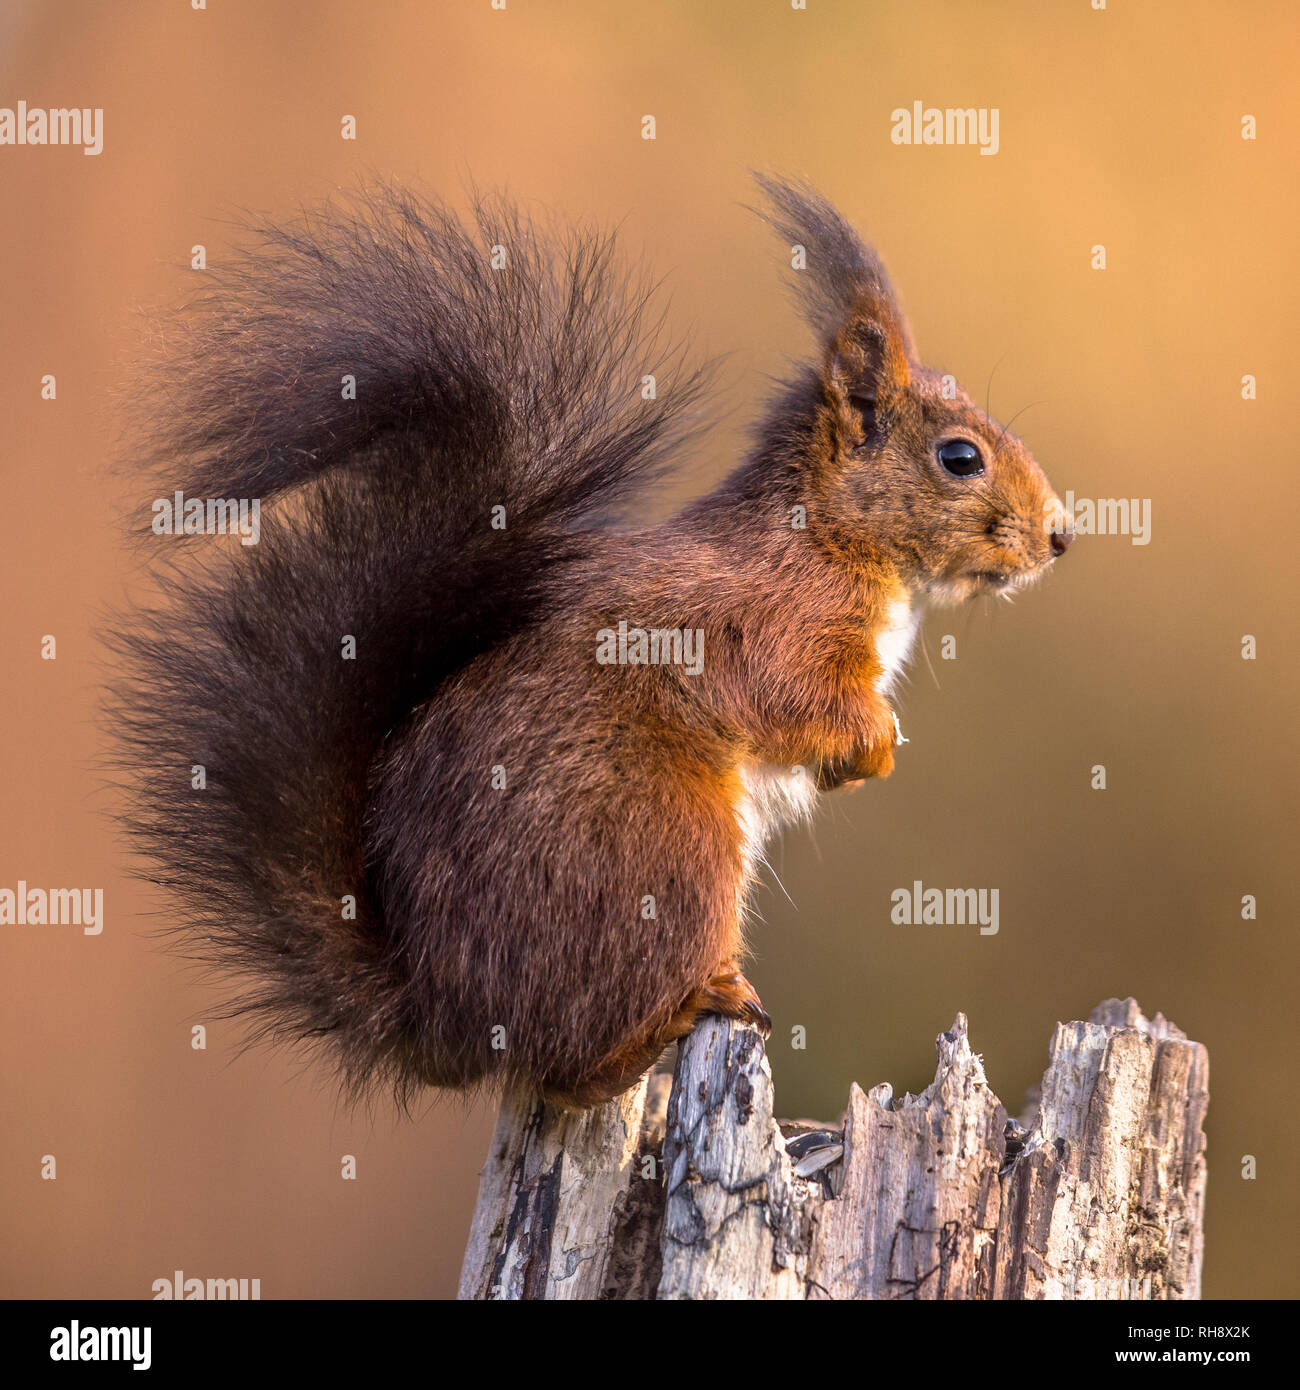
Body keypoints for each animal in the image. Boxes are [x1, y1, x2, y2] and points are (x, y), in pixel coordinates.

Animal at [110, 175, 1073, 1110]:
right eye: (959, 458)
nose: (1061, 536)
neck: (830, 538)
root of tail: (443, 1017)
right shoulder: (772, 623)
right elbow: (792, 698)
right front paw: (872, 747)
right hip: (665, 850)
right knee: (567, 1071)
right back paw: (680, 1015)